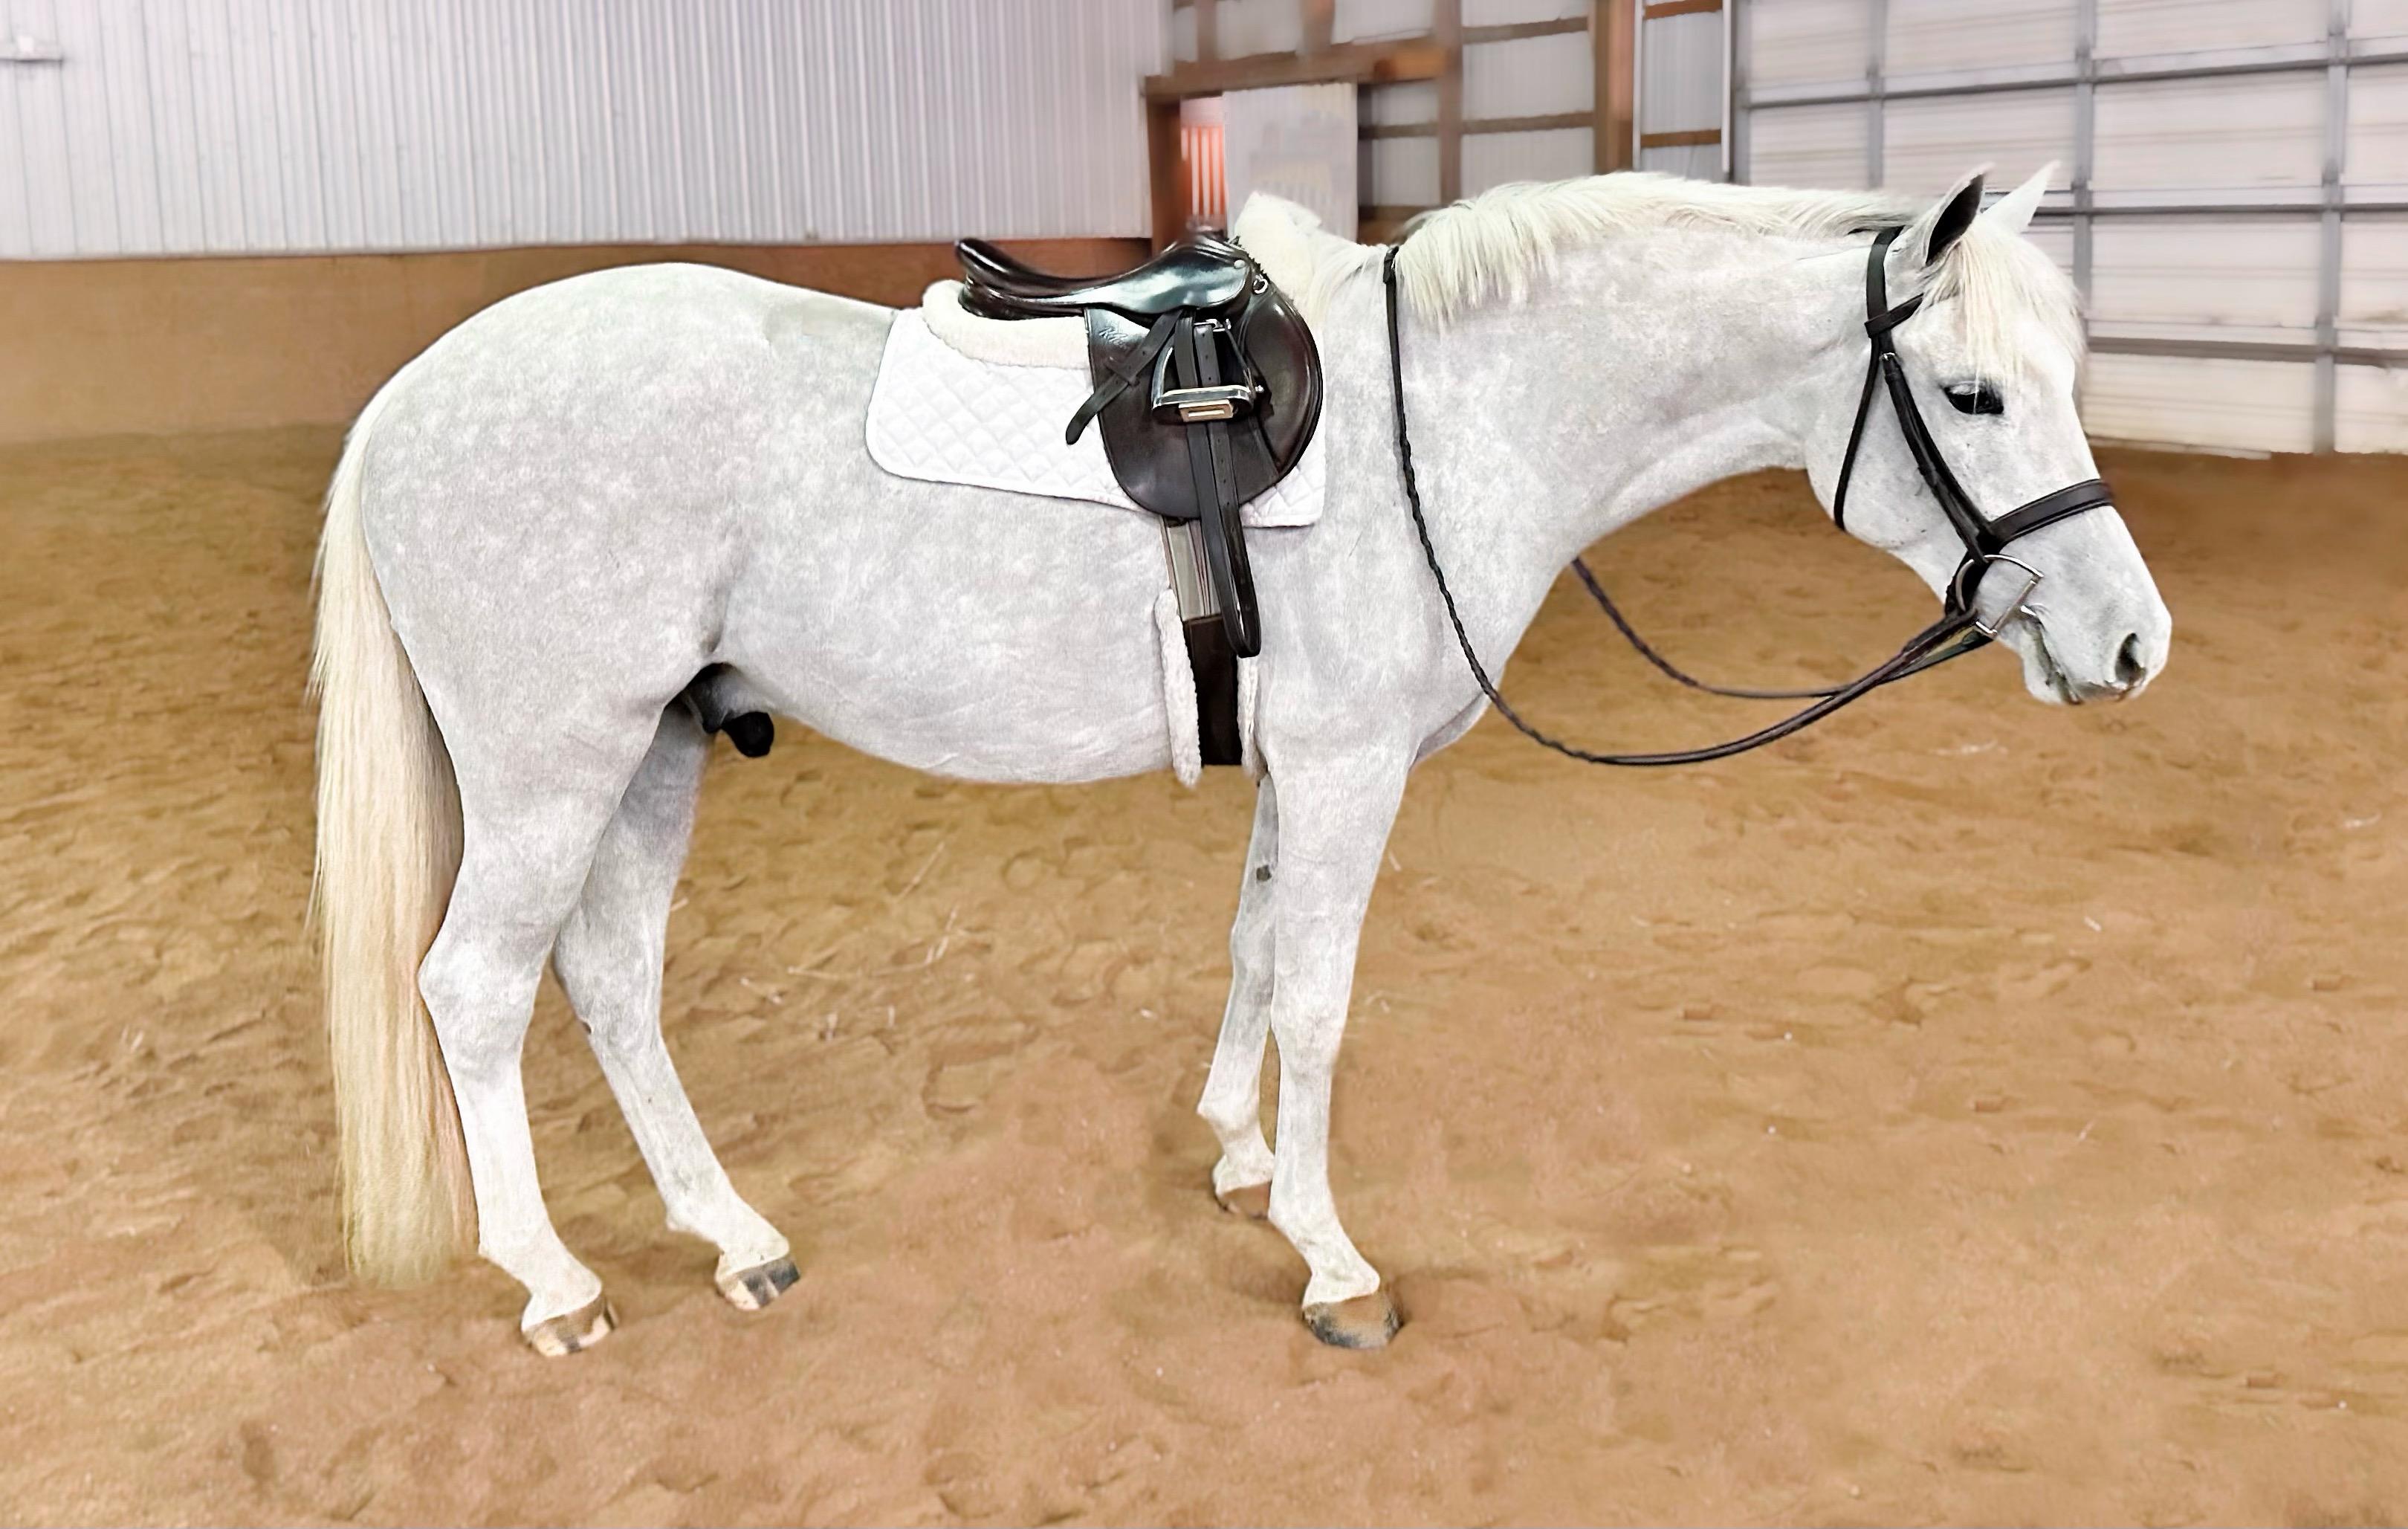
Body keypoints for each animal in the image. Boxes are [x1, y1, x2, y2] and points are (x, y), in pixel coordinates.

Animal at [312, 165, 2170, 1355]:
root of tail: (404, 400)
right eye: (1975, 393)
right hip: (557, 763)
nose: (2133, 643)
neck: (1449, 419)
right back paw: (555, 1280)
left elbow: (1259, 947)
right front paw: (1334, 1259)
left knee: (611, 978)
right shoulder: (1352, 768)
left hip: (651, 749)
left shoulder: (1301, 765)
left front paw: (1238, 1151)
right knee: (478, 986)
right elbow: (1325, 997)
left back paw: (735, 1235)